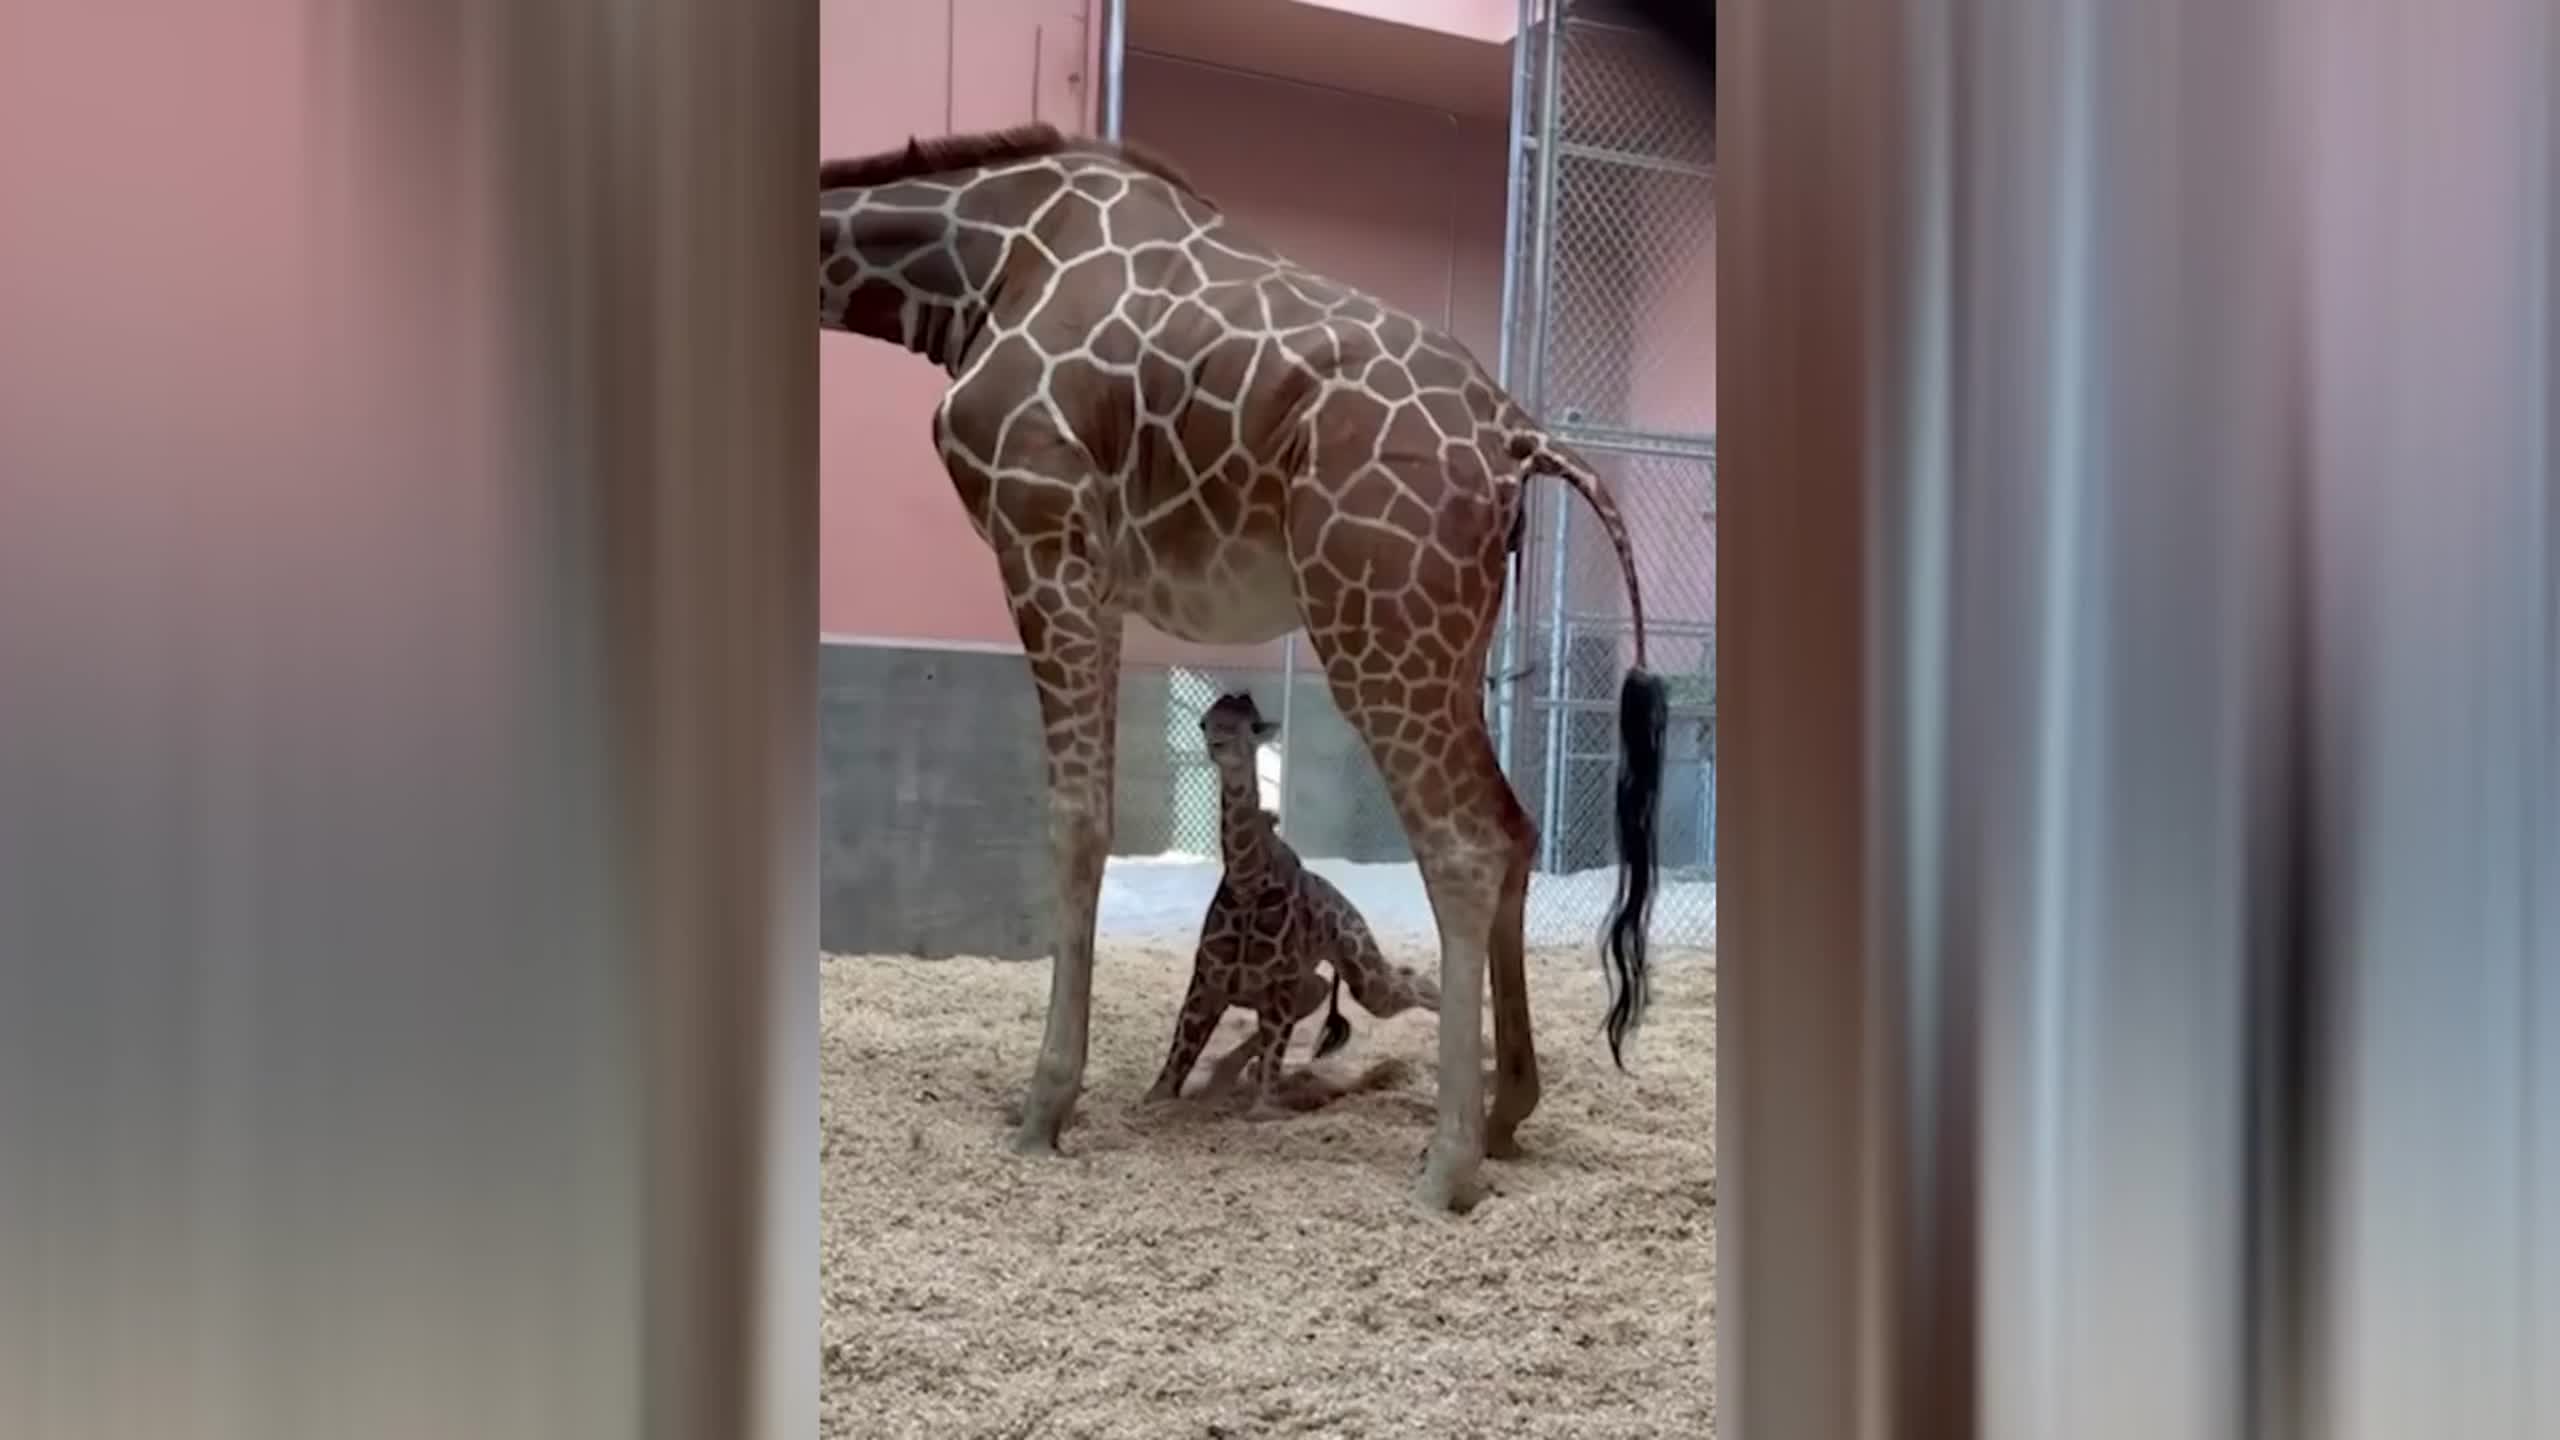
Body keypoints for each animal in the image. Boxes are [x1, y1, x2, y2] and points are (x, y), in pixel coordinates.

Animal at [1145, 691, 1440, 1113]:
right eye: (1205, 722)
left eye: (1251, 726)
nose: (1218, 744)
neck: (1247, 882)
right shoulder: (1208, 980)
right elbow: (1173, 1065)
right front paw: (1170, 1096)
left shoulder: (1280, 983)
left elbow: (1267, 1078)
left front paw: (1262, 1102)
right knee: (1325, 987)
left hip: (1362, 973)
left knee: (1410, 982)